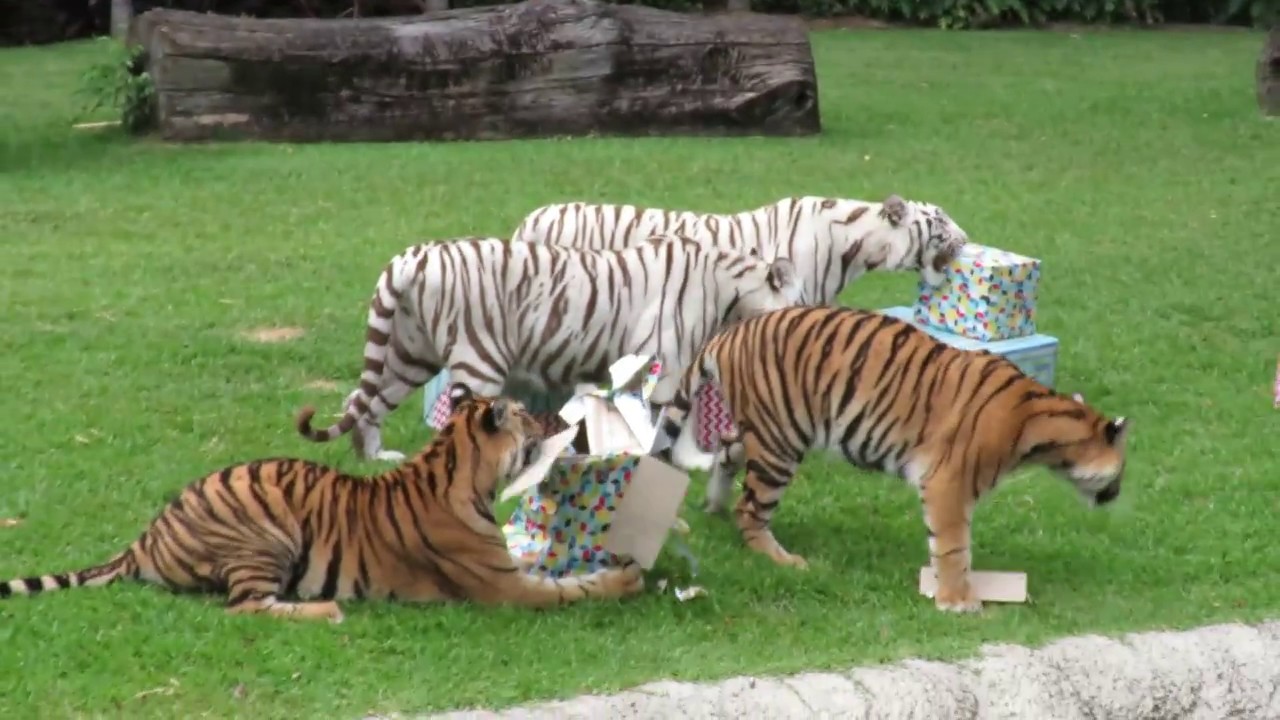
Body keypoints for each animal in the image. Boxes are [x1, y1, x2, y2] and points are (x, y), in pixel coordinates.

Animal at [0, 385, 645, 622]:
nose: (553, 421)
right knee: (245, 607)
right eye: (524, 416)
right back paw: (326, 610)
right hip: (263, 534)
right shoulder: (504, 588)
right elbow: (571, 590)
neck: (456, 463)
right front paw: (626, 578)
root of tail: (146, 537)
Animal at [297, 233, 802, 462]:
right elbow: (665, 419)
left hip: (409, 355)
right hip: (479, 359)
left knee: (364, 401)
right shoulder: (666, 363)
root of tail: (409, 258)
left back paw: (373, 457)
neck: (729, 288)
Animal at [654, 305, 1131, 613]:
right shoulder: (948, 483)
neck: (1042, 423)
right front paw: (958, 601)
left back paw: (713, 506)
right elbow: (953, 545)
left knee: (725, 455)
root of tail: (730, 332)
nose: (1118, 494)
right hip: (779, 444)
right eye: (1122, 469)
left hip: (761, 431)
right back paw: (782, 559)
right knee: (750, 509)